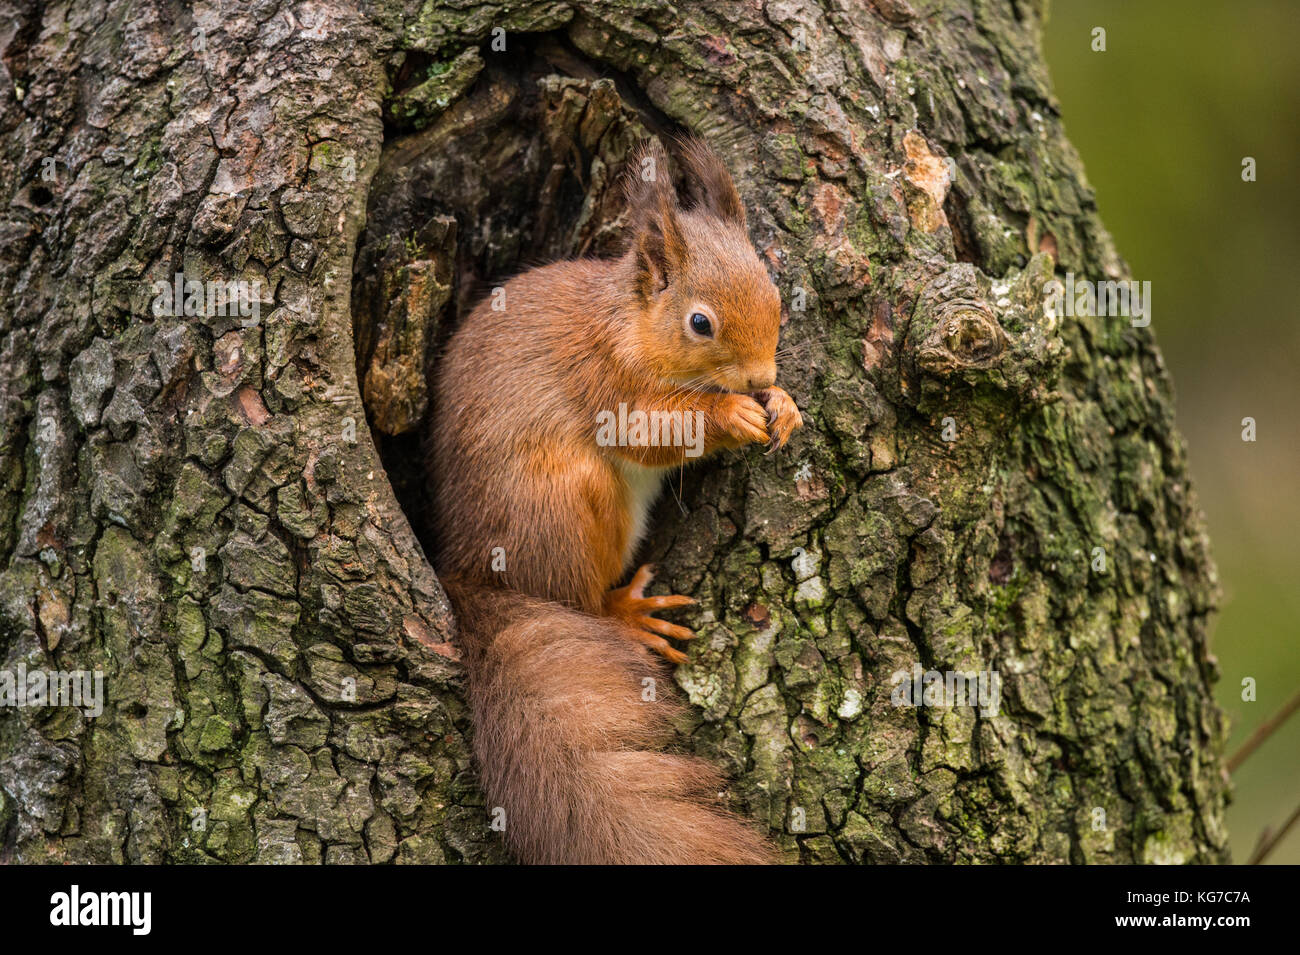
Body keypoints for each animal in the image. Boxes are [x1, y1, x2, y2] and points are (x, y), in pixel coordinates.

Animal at [427, 137, 803, 864]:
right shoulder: (606, 376)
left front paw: (786, 405)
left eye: (776, 296)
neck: (632, 326)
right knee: (579, 599)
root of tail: (468, 572)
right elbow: (651, 435)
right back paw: (628, 615)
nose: (761, 378)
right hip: (567, 498)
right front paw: (732, 415)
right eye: (699, 322)